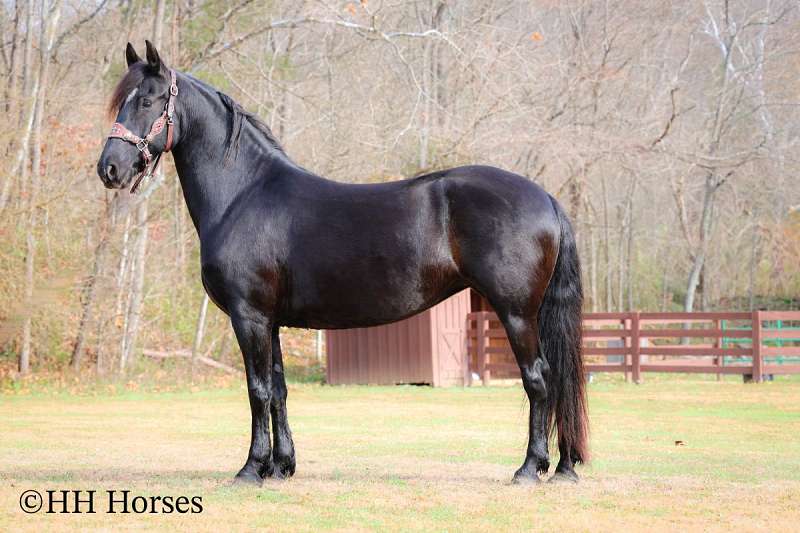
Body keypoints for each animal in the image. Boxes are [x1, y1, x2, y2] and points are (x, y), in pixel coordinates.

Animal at [96, 41, 589, 485]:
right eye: (121, 101)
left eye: (147, 100)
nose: (109, 168)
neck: (243, 194)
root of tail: (545, 197)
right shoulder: (271, 321)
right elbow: (279, 389)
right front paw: (281, 467)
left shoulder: (248, 316)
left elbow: (257, 389)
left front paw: (251, 469)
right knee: (559, 380)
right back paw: (563, 467)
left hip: (516, 313)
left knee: (539, 380)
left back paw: (529, 468)